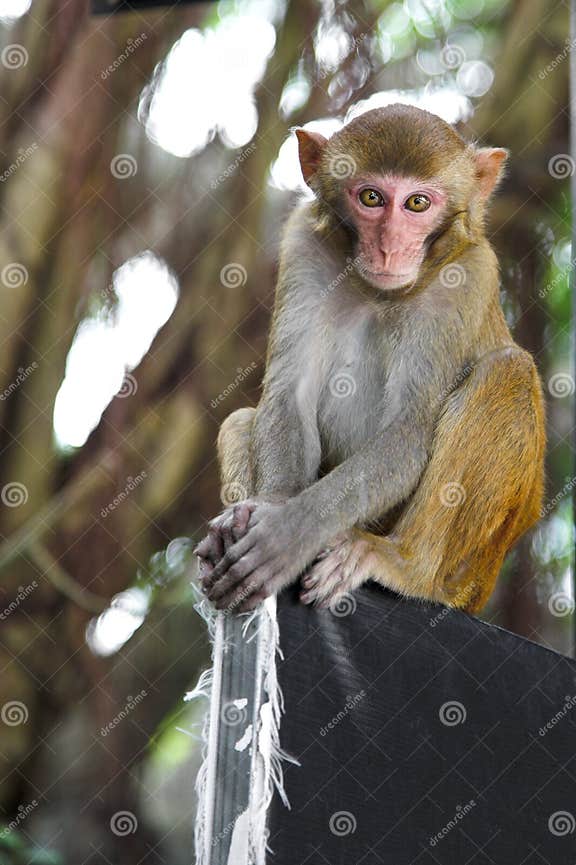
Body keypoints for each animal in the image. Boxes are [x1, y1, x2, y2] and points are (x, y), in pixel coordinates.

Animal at [195, 103, 545, 617]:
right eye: (372, 198)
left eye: (417, 204)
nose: (389, 247)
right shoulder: (304, 245)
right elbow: (287, 397)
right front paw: (271, 507)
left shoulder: (470, 274)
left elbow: (408, 430)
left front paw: (288, 534)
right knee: (242, 420)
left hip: (468, 574)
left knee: (508, 372)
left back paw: (405, 563)